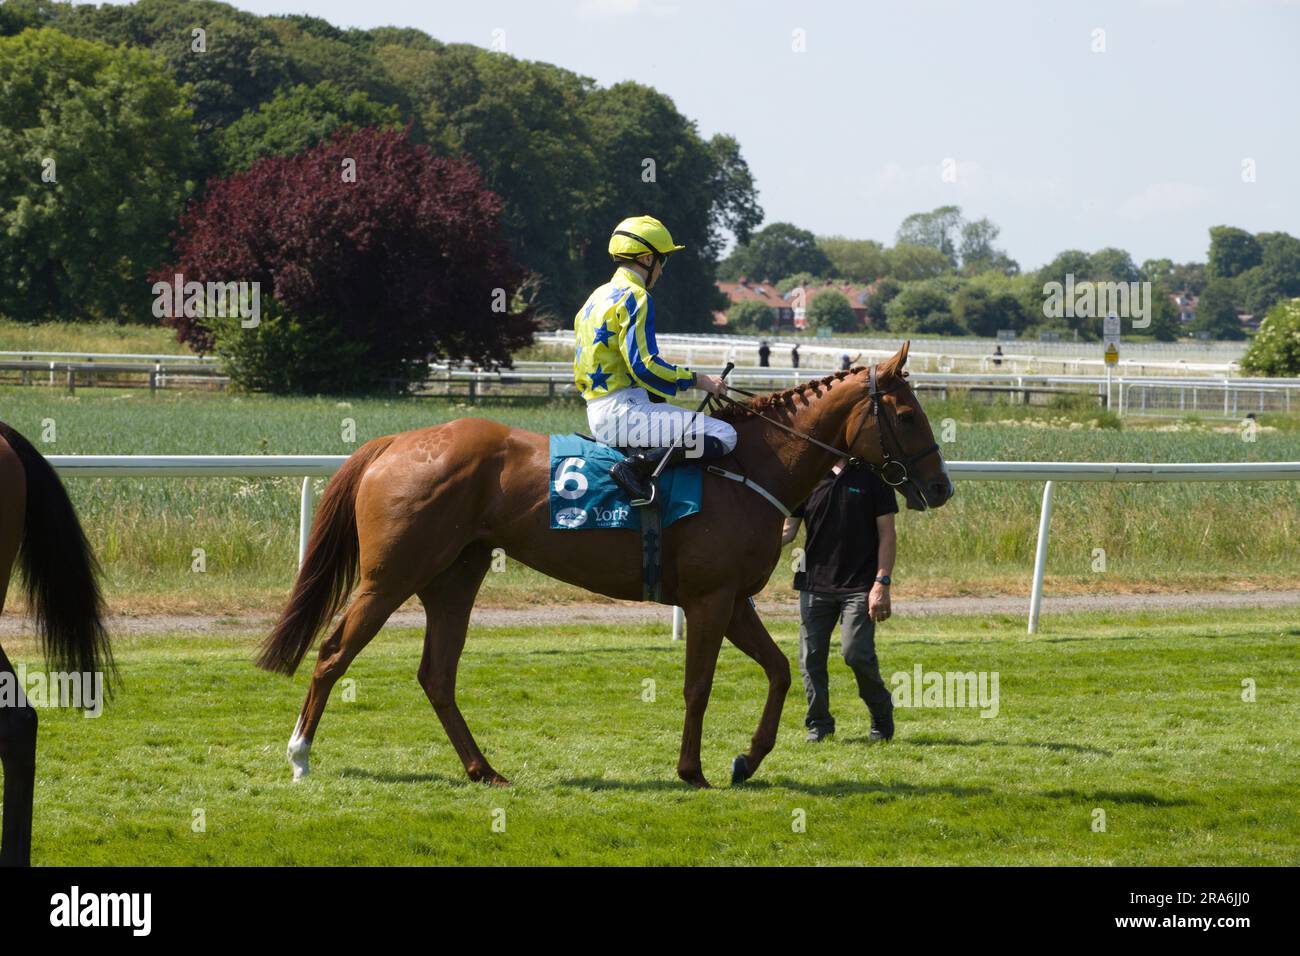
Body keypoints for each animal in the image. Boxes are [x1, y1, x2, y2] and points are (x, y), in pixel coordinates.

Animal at [257, 341, 952, 789]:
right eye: (907, 414)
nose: (941, 488)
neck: (749, 464)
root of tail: (393, 443)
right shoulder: (708, 599)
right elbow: (698, 685)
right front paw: (692, 771)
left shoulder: (733, 599)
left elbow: (781, 671)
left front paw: (746, 761)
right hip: (392, 576)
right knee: (332, 653)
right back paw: (299, 756)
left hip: (454, 578)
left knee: (436, 675)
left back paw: (484, 770)